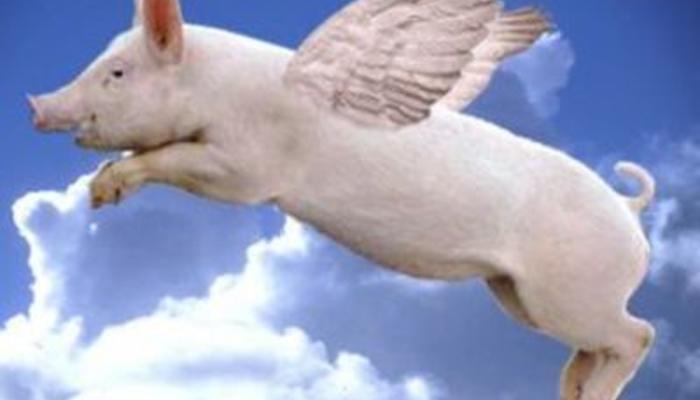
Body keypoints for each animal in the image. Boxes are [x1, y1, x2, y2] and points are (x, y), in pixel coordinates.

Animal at [29, 0, 657, 399]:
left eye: (117, 73)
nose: (37, 105)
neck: (213, 89)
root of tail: (628, 214)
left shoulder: (248, 168)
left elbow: (180, 163)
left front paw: (102, 192)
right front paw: (96, 194)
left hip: (570, 291)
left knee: (637, 334)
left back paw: (592, 390)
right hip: (518, 295)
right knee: (596, 343)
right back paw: (571, 390)